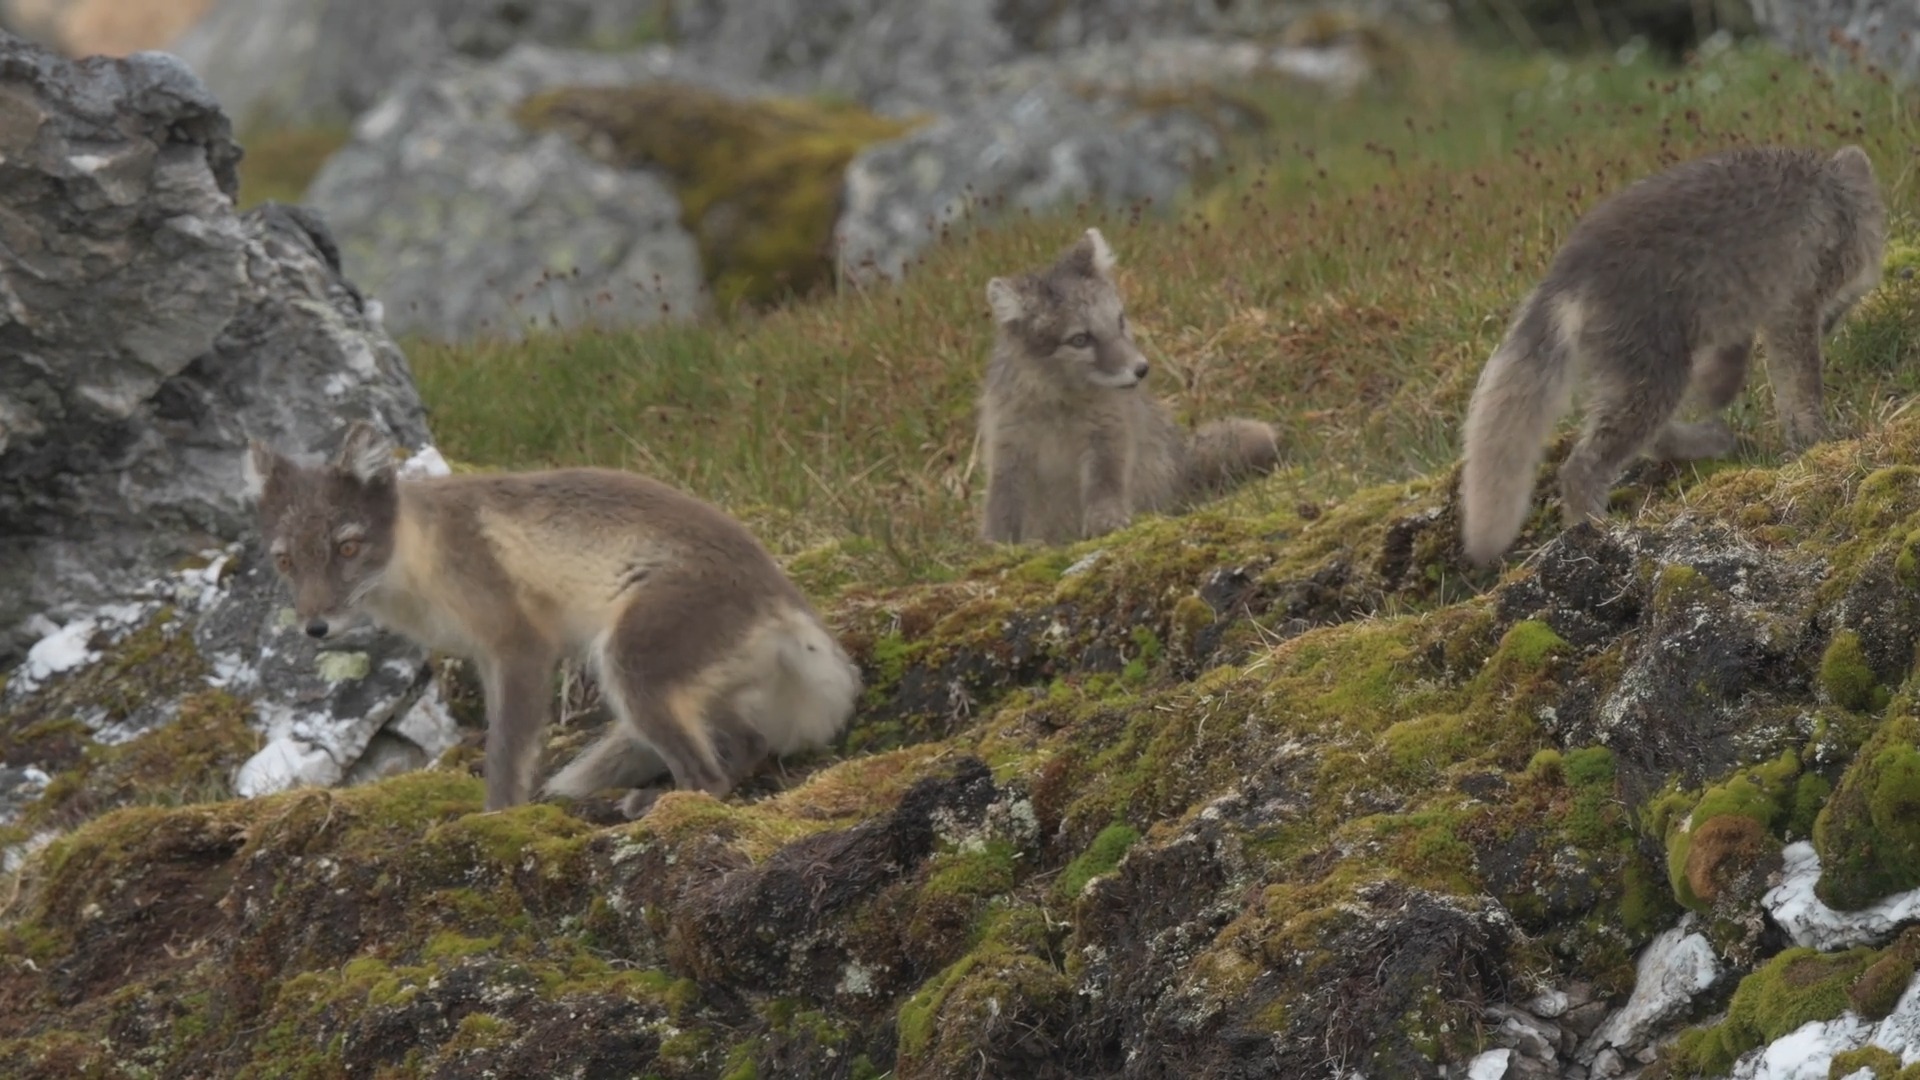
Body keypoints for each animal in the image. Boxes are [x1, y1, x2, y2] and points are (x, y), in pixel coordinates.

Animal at [242, 420, 862, 817]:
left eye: (347, 547)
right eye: (286, 560)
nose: (315, 627)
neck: (423, 556)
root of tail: (784, 596)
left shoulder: (521, 646)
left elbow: (507, 755)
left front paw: (496, 820)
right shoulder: (487, 657)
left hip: (629, 665)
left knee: (707, 773)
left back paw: (663, 805)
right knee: (750, 742)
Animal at [977, 227, 1282, 545]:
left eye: (1120, 320)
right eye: (1080, 340)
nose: (1141, 369)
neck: (1059, 408)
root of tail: (1181, 461)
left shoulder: (1109, 434)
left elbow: (1105, 482)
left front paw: (1106, 522)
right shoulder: (1007, 447)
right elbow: (1002, 503)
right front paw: (997, 545)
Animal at [1459, 143, 1887, 567]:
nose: (1829, 326)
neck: (1842, 198)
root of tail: (1565, 275)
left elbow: (1735, 363)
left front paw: (1719, 389)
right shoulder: (1796, 303)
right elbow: (1801, 386)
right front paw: (1819, 443)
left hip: (1642, 375)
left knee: (1648, 440)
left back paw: (1711, 439)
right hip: (1655, 372)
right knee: (1582, 467)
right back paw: (1596, 531)